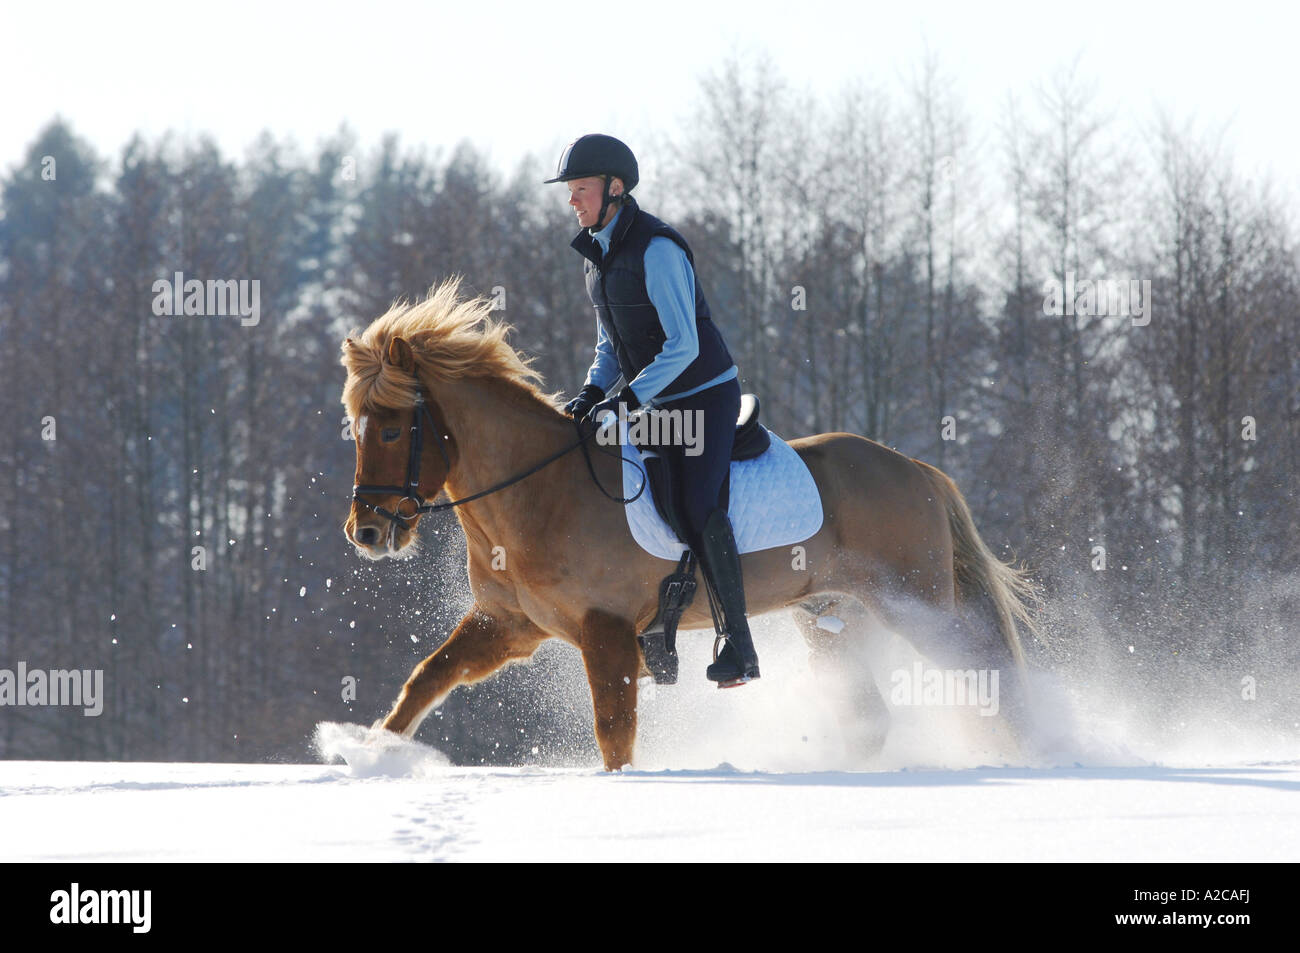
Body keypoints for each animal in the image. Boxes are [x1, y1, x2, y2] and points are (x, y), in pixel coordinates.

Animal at [341, 278, 1042, 771]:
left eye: (395, 428)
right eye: (355, 424)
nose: (367, 533)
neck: (538, 493)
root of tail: (914, 468)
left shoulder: (608, 632)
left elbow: (613, 733)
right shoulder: (507, 625)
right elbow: (427, 678)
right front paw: (371, 755)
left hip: (915, 604)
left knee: (986, 669)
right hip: (832, 616)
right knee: (870, 716)